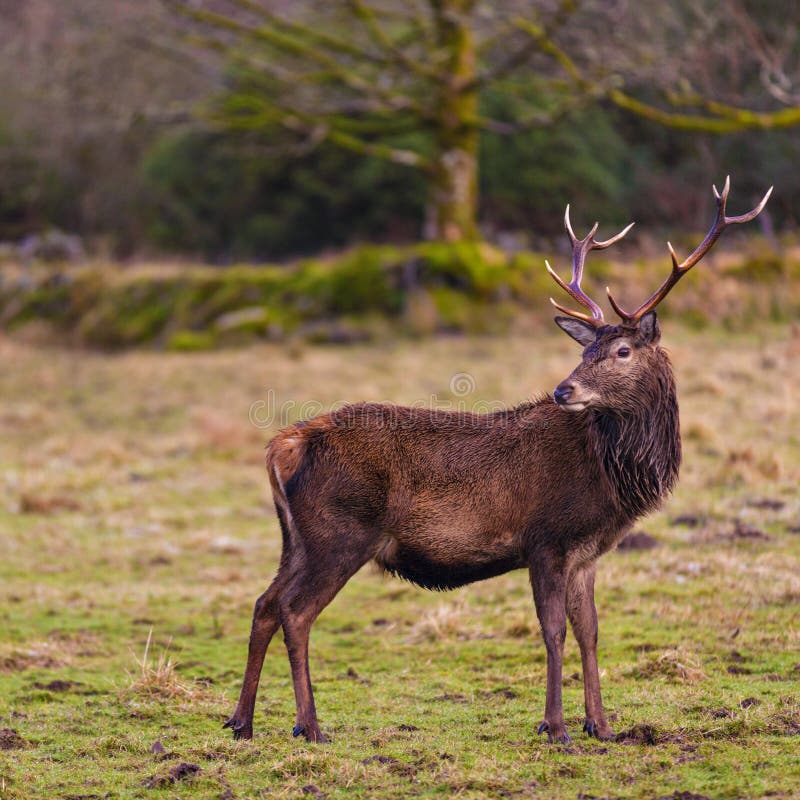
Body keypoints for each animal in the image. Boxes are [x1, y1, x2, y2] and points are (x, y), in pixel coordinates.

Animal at [223, 177, 770, 745]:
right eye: (585, 351)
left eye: (622, 351)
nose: (563, 389)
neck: (610, 475)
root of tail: (285, 444)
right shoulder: (545, 538)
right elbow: (553, 631)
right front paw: (556, 727)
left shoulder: (587, 553)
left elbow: (591, 631)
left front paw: (601, 725)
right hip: (340, 533)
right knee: (295, 611)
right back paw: (308, 725)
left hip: (297, 539)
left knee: (265, 603)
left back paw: (242, 720)